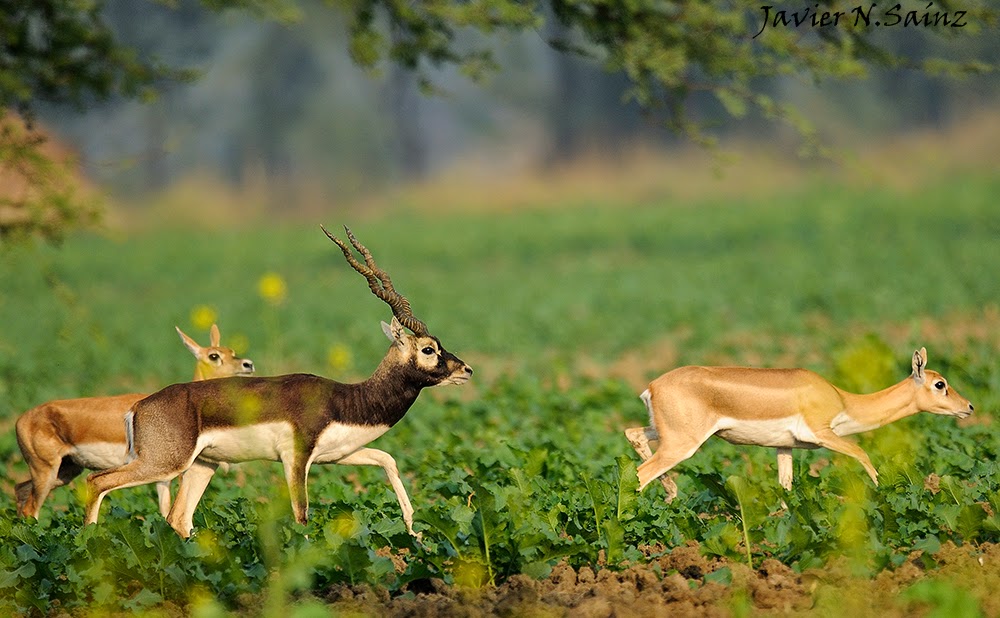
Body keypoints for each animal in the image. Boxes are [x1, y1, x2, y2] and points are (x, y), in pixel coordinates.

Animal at [14, 324, 255, 518]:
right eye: (214, 356)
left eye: (231, 352)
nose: (248, 364)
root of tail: (22, 418)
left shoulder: (163, 479)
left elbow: (165, 511)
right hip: (46, 472)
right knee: (31, 508)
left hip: (64, 472)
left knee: (20, 490)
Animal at [84, 226, 473, 539]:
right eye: (428, 349)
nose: (466, 370)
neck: (347, 400)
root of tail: (140, 406)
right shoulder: (295, 458)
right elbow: (301, 515)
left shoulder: (339, 455)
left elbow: (387, 459)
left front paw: (413, 530)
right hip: (165, 463)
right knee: (97, 481)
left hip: (199, 466)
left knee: (178, 519)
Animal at [625, 348, 974, 501]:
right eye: (940, 384)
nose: (969, 407)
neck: (842, 400)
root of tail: (652, 386)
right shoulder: (823, 435)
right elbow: (863, 454)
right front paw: (883, 493)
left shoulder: (784, 448)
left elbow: (786, 487)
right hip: (683, 444)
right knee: (641, 473)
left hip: (665, 434)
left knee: (633, 436)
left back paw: (670, 495)